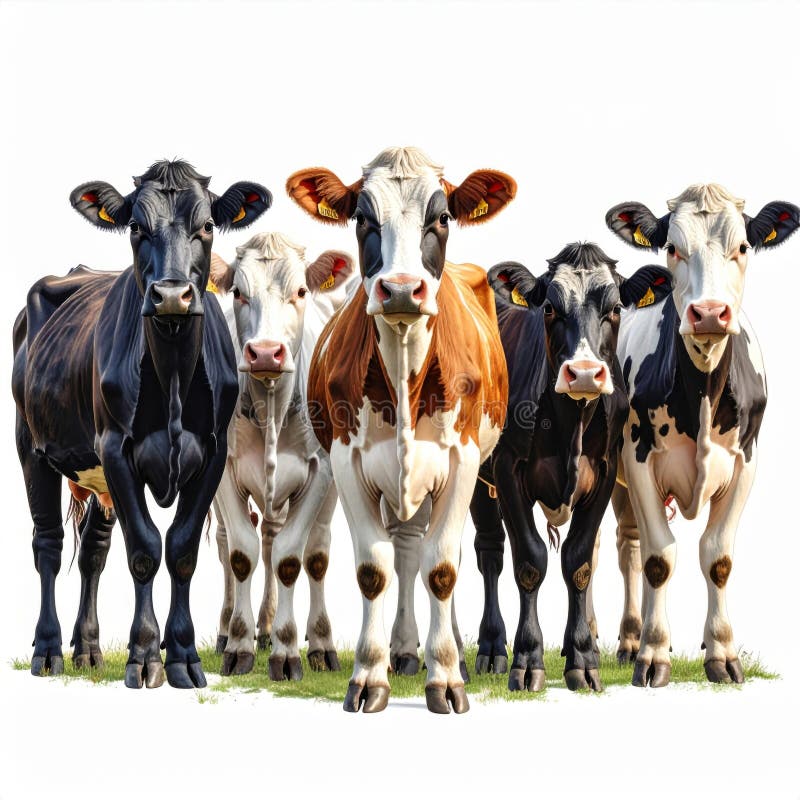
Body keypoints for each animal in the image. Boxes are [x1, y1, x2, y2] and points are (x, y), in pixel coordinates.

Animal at [13, 159, 270, 688]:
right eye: (135, 227)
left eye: (207, 226)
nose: (171, 294)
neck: (171, 376)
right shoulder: (116, 449)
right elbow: (146, 549)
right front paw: (146, 653)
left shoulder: (213, 453)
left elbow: (182, 550)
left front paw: (184, 655)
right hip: (31, 447)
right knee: (47, 545)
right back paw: (48, 649)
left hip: (94, 474)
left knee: (93, 550)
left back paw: (88, 649)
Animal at [208, 232, 355, 679]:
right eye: (238, 292)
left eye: (301, 291)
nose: (264, 352)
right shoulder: (222, 470)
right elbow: (240, 554)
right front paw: (238, 644)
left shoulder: (320, 472)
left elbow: (292, 557)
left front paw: (287, 649)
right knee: (233, 544)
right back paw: (233, 628)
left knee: (307, 549)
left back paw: (303, 637)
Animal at [286, 146, 514, 713]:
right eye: (363, 219)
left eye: (443, 216)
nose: (402, 289)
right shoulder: (347, 462)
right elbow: (375, 568)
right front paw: (371, 675)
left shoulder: (463, 460)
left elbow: (442, 568)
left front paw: (447, 678)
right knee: (405, 549)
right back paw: (405, 651)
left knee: (427, 553)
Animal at [471, 243, 671, 691]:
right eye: (549, 307)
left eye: (615, 308)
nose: (582, 373)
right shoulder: (508, 472)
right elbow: (529, 562)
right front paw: (528, 659)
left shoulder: (605, 472)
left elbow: (578, 562)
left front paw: (582, 657)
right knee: (489, 553)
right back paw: (491, 648)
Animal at [605, 183, 799, 686]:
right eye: (672, 247)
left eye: (744, 247)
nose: (709, 313)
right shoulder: (638, 460)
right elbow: (660, 558)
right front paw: (654, 654)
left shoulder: (746, 461)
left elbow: (717, 558)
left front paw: (721, 652)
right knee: (627, 548)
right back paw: (632, 641)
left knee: (631, 545)